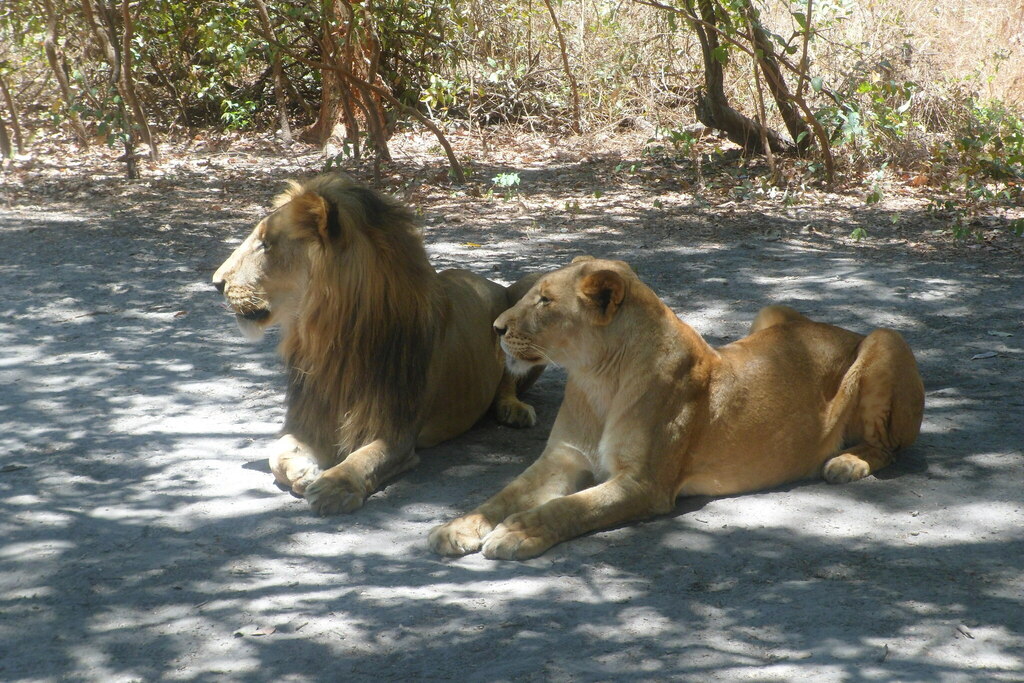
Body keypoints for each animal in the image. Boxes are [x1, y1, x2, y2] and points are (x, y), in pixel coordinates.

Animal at [212, 174, 541, 515]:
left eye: (265, 244)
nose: (216, 283)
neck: (330, 340)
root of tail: (485, 280)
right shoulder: (310, 420)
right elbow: (276, 451)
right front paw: (303, 470)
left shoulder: (396, 434)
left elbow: (363, 458)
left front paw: (334, 487)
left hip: (531, 288)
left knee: (509, 382)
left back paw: (514, 410)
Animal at [429, 256, 924, 560]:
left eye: (545, 301)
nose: (495, 328)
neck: (596, 379)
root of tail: (843, 329)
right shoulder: (561, 459)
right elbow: (503, 495)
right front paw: (458, 527)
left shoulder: (645, 483)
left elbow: (570, 507)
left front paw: (517, 533)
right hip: (772, 310)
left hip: (884, 339)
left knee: (889, 445)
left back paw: (847, 462)